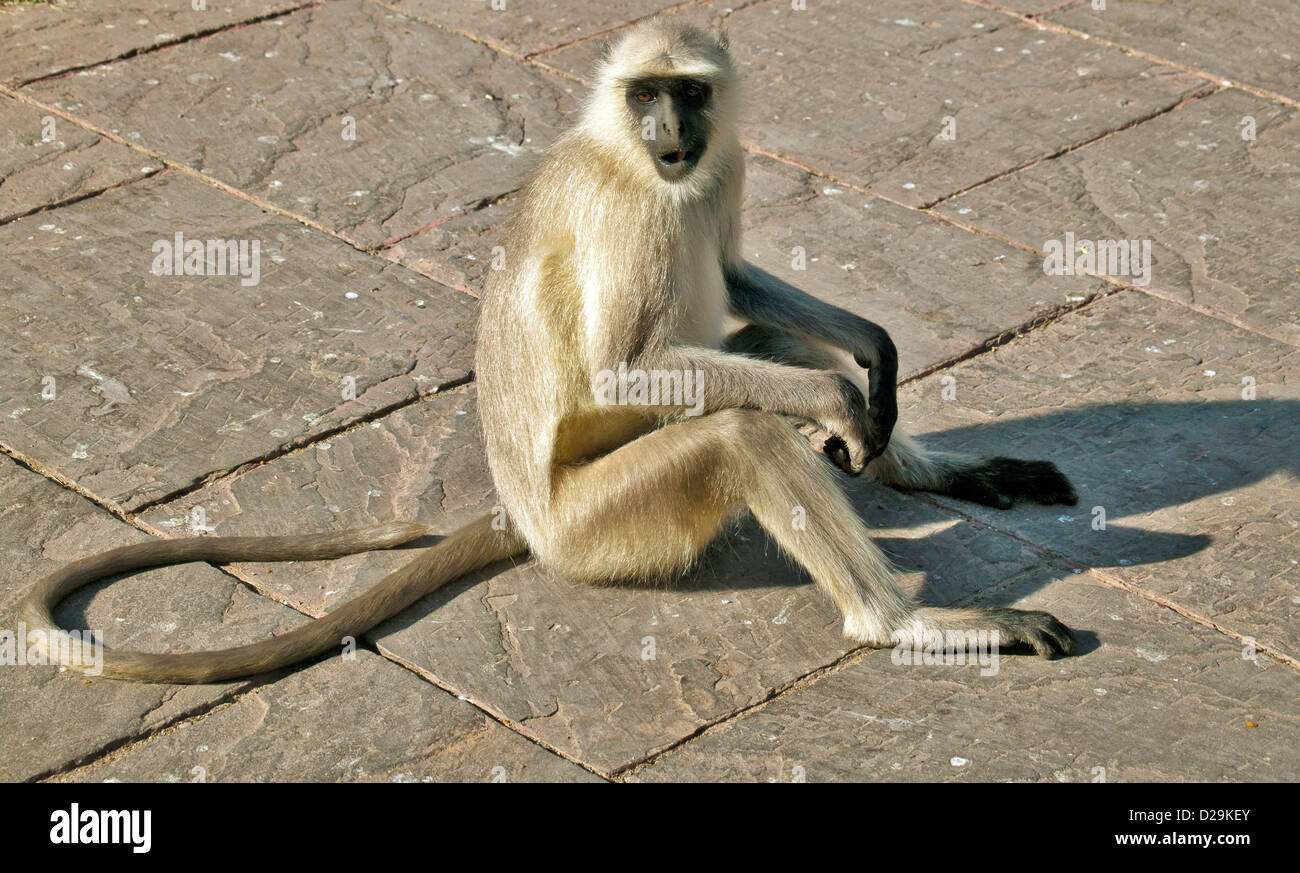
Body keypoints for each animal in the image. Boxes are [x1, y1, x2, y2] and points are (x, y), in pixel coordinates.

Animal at [19, 18, 1075, 685]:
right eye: (645, 93)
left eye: (689, 95)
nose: (669, 128)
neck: (636, 152)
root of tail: (526, 519)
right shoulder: (631, 200)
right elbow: (628, 368)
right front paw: (838, 398)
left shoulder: (722, 160)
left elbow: (740, 283)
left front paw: (874, 355)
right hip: (598, 529)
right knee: (740, 429)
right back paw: (897, 619)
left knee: (764, 344)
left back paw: (934, 470)